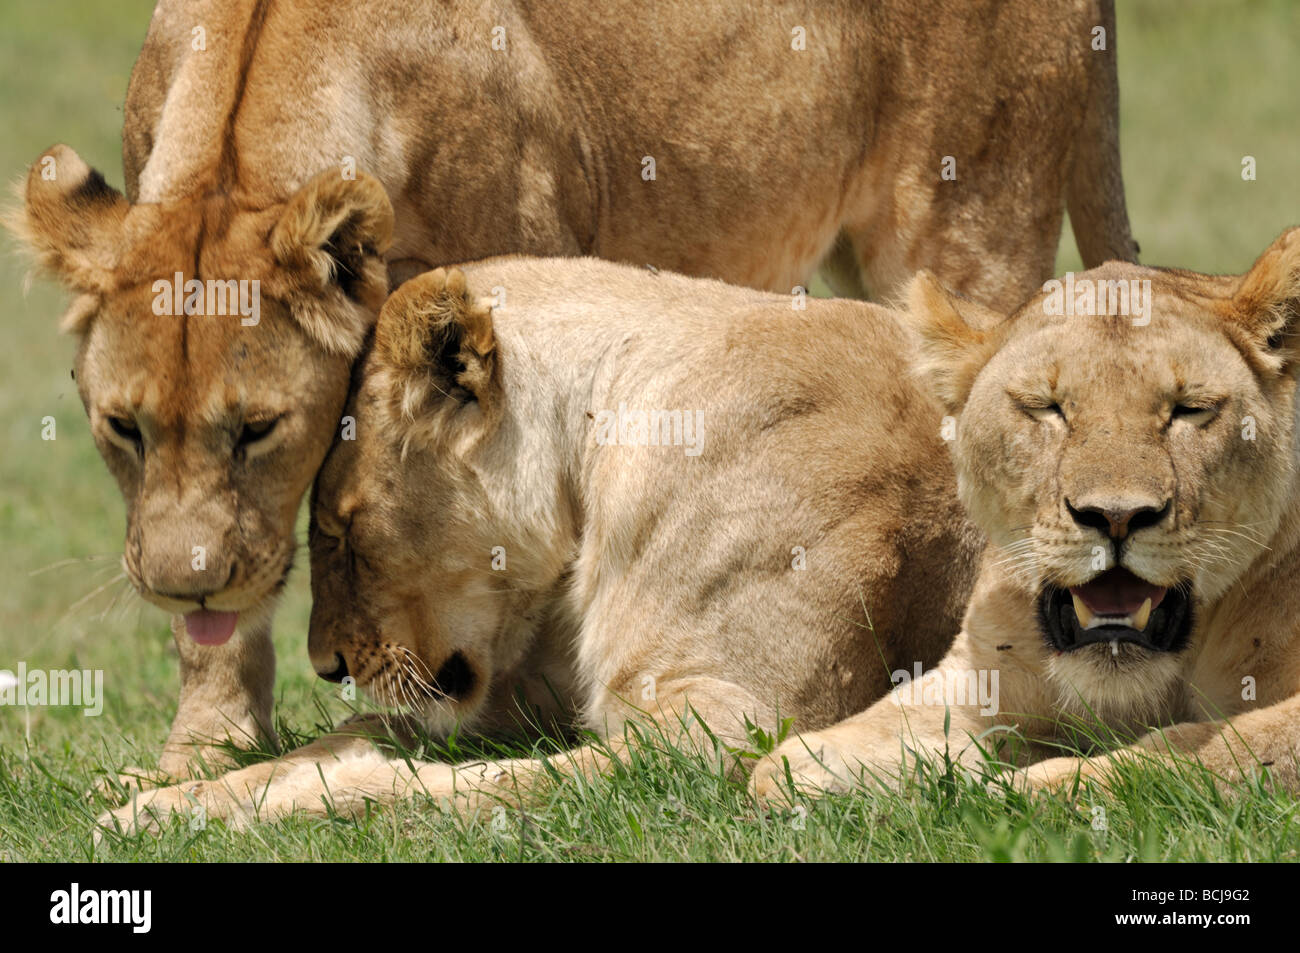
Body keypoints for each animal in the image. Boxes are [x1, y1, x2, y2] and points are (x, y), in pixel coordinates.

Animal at [96, 258, 982, 832]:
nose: (326, 665)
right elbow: (357, 732)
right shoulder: (520, 698)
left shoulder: (725, 726)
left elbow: (458, 786)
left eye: (345, 535)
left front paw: (281, 800)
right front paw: (162, 797)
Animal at [750, 228, 1300, 803]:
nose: (1116, 516)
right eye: (1045, 407)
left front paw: (1015, 791)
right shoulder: (977, 677)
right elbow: (801, 759)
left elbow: (1205, 752)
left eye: (1190, 409)